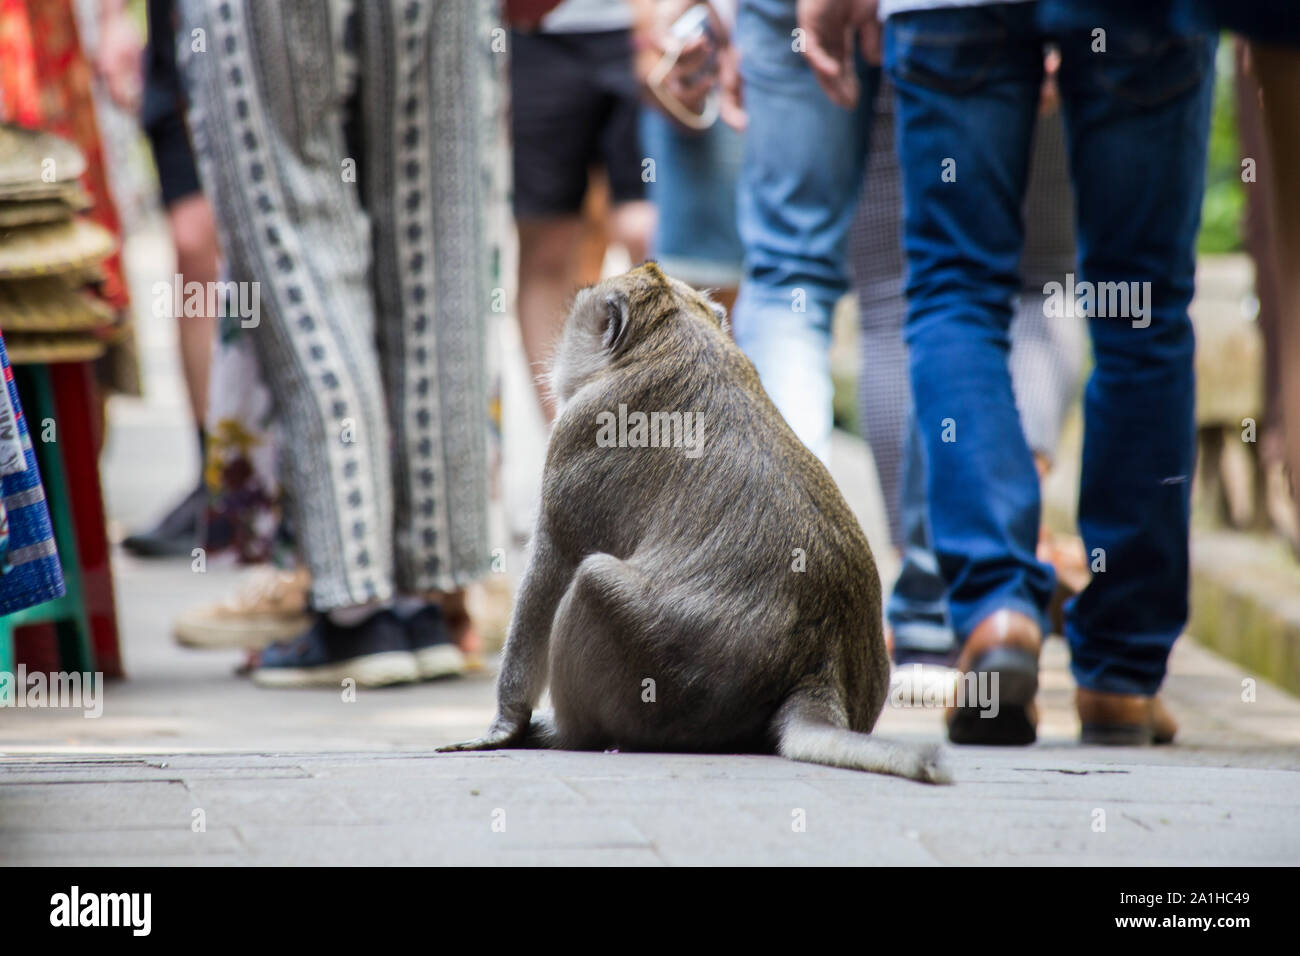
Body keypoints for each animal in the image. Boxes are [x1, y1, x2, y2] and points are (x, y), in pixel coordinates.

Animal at [439, 263, 950, 784]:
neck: (675, 335)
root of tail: (819, 662)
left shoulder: (572, 441)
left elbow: (550, 571)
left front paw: (504, 724)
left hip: (672, 677)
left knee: (593, 583)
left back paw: (569, 733)